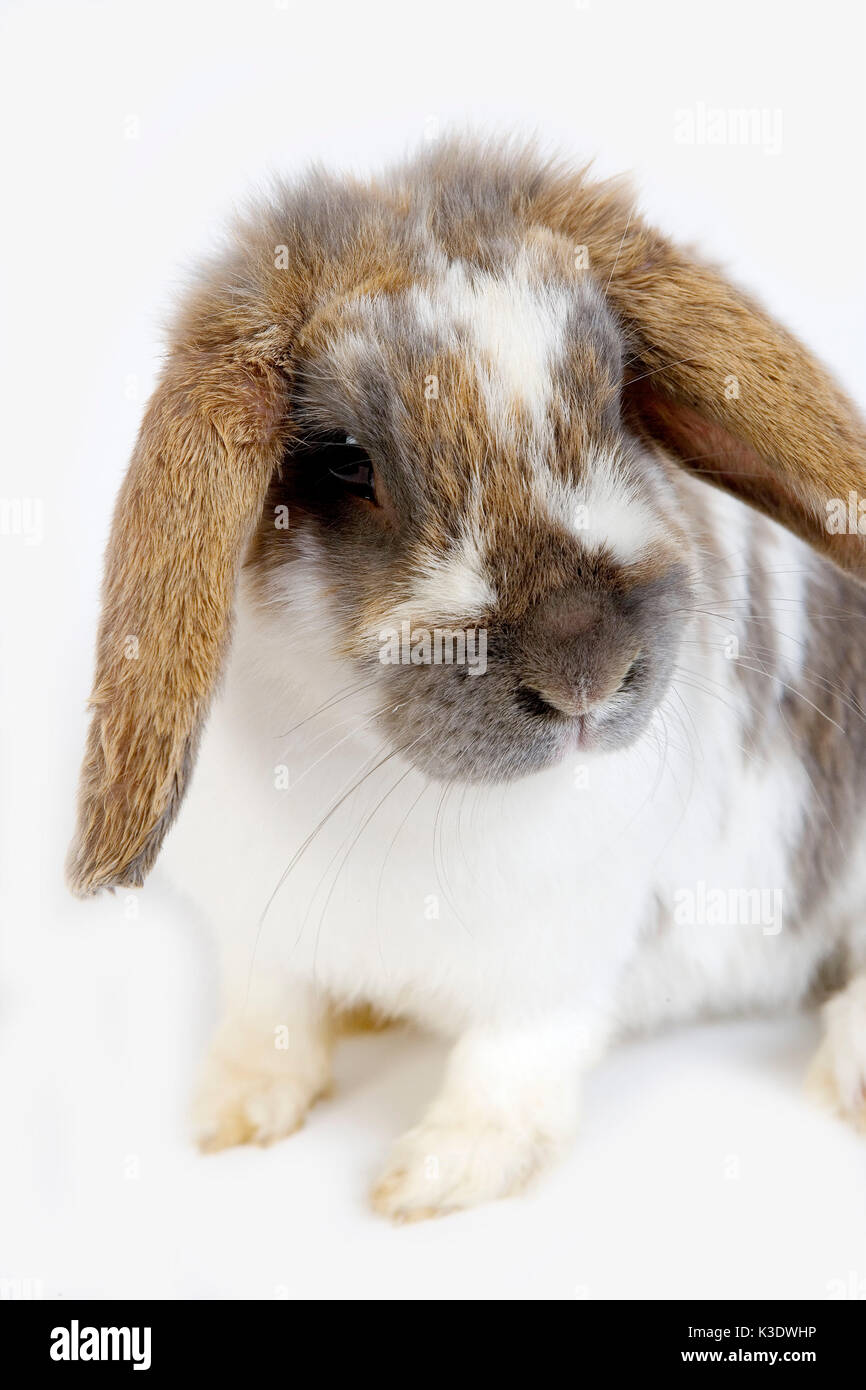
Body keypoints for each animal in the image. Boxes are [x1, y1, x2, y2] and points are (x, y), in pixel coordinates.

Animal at [68, 137, 866, 1220]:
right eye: (344, 461)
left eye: (617, 400)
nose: (585, 672)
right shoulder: (261, 937)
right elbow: (270, 1014)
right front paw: (234, 1114)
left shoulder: (555, 969)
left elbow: (508, 1069)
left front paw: (432, 1176)